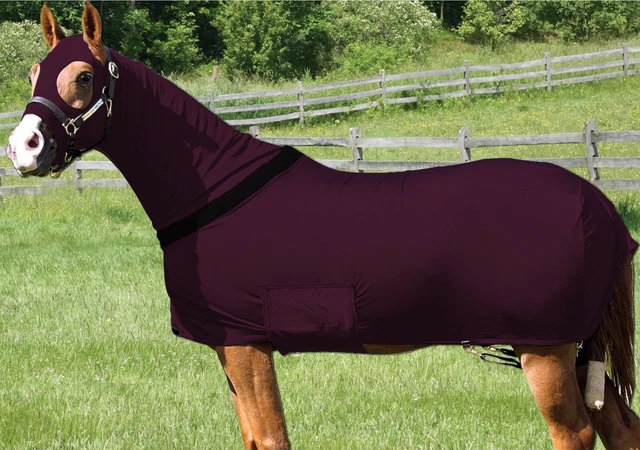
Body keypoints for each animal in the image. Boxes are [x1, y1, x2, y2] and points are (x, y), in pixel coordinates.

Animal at [6, 4, 640, 449]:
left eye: (83, 77)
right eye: (36, 70)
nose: (22, 148)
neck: (214, 190)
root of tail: (600, 206)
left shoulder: (244, 344)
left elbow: (269, 437)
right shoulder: (230, 348)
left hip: (545, 350)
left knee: (576, 435)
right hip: (573, 348)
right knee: (621, 428)